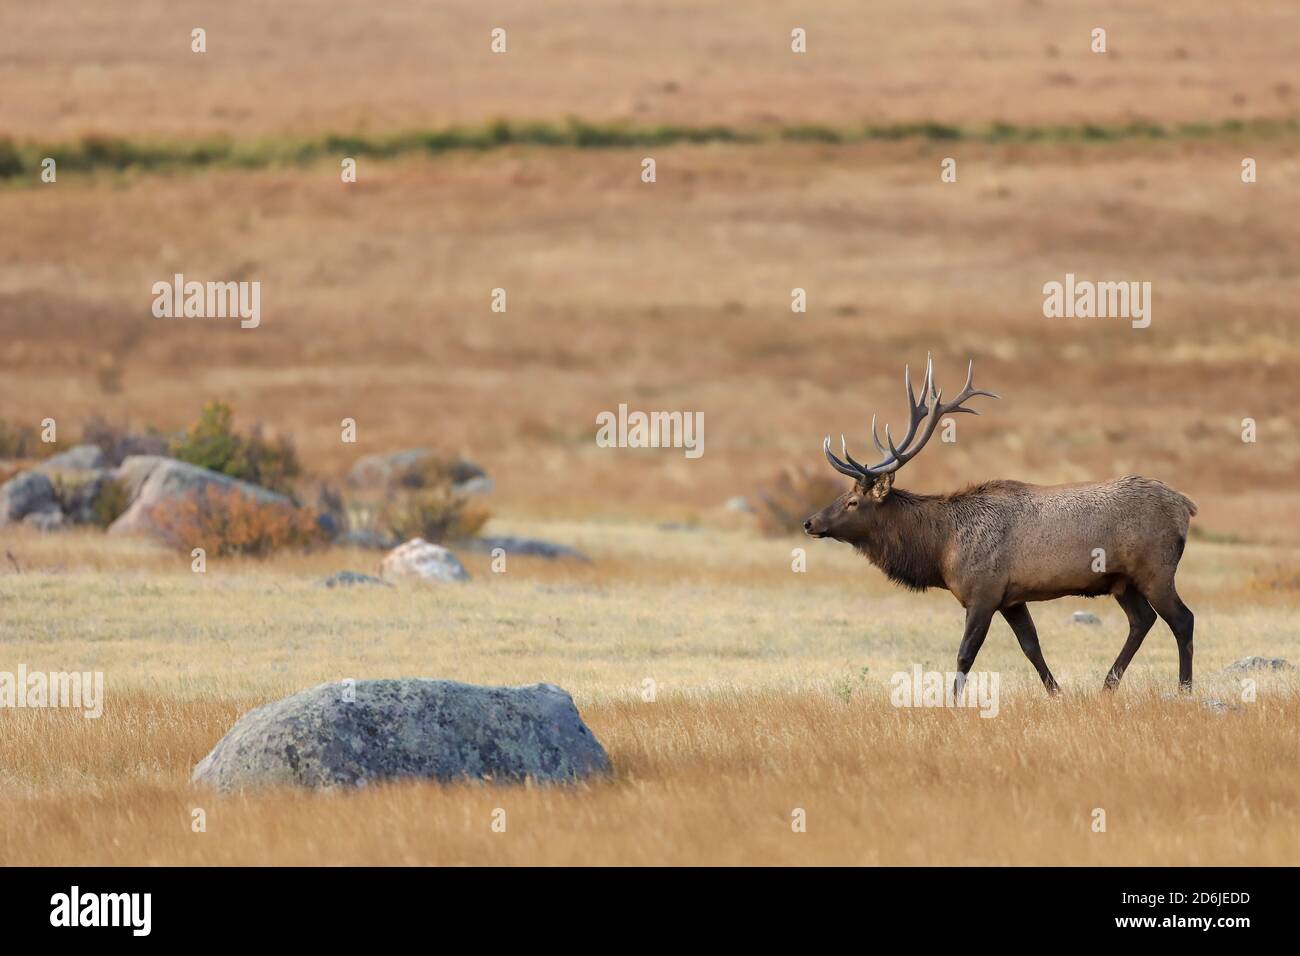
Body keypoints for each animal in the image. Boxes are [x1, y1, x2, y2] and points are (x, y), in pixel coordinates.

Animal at [803, 356, 1198, 696]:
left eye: (853, 502)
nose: (809, 522)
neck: (941, 547)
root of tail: (1186, 505)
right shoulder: (1012, 598)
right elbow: (1032, 647)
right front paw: (1058, 694)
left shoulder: (983, 592)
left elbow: (966, 654)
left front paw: (952, 702)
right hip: (1121, 581)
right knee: (1142, 620)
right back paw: (1107, 686)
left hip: (1155, 569)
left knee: (1182, 619)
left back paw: (1184, 689)